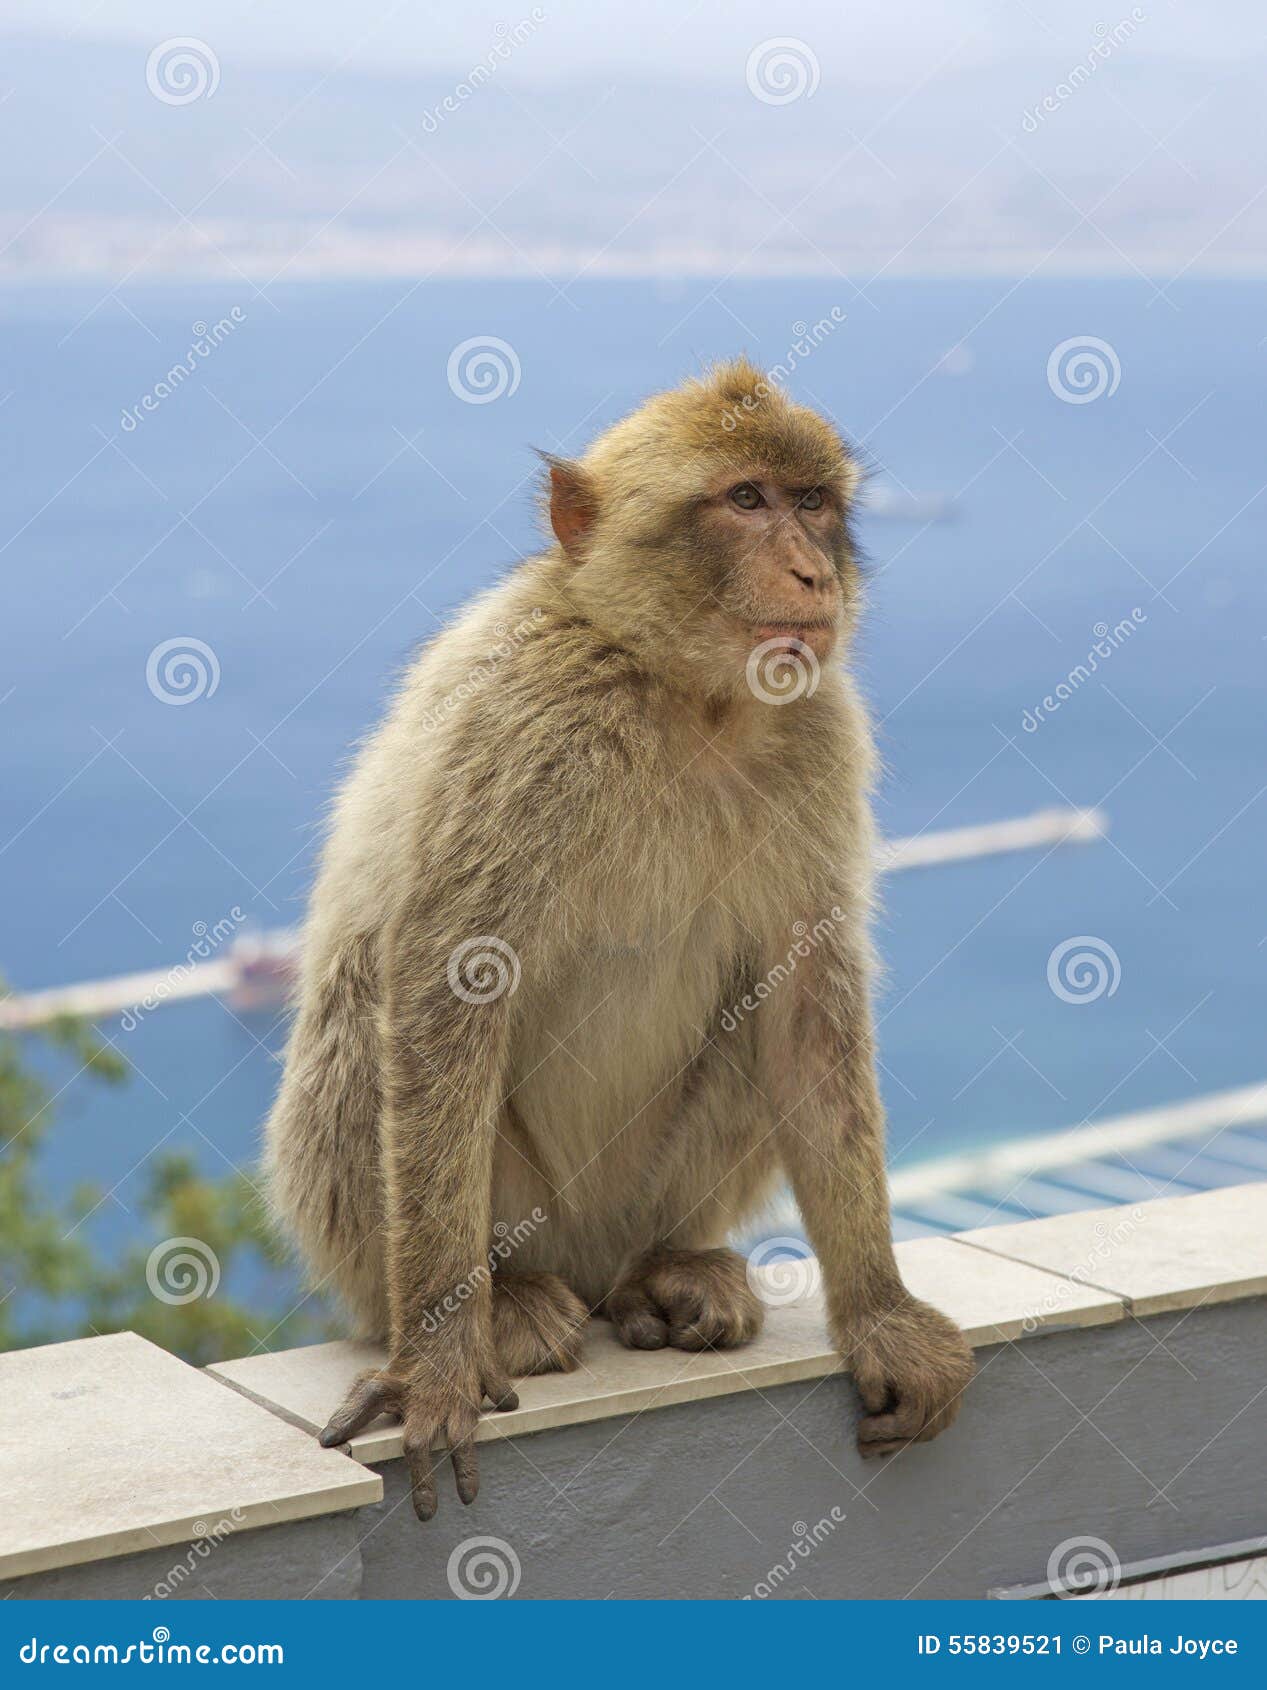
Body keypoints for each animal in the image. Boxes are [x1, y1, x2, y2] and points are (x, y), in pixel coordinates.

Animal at [264, 358, 974, 1523]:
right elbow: (445, 977)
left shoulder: (819, 728)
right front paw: (439, 1365)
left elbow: (804, 1000)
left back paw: (665, 1272)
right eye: (745, 501)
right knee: (369, 1004)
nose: (810, 572)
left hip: (635, 1194)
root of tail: (588, 1257)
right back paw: (502, 1304)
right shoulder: (524, 720)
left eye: (812, 502)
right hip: (431, 1222)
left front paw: (878, 1316)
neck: (689, 698)